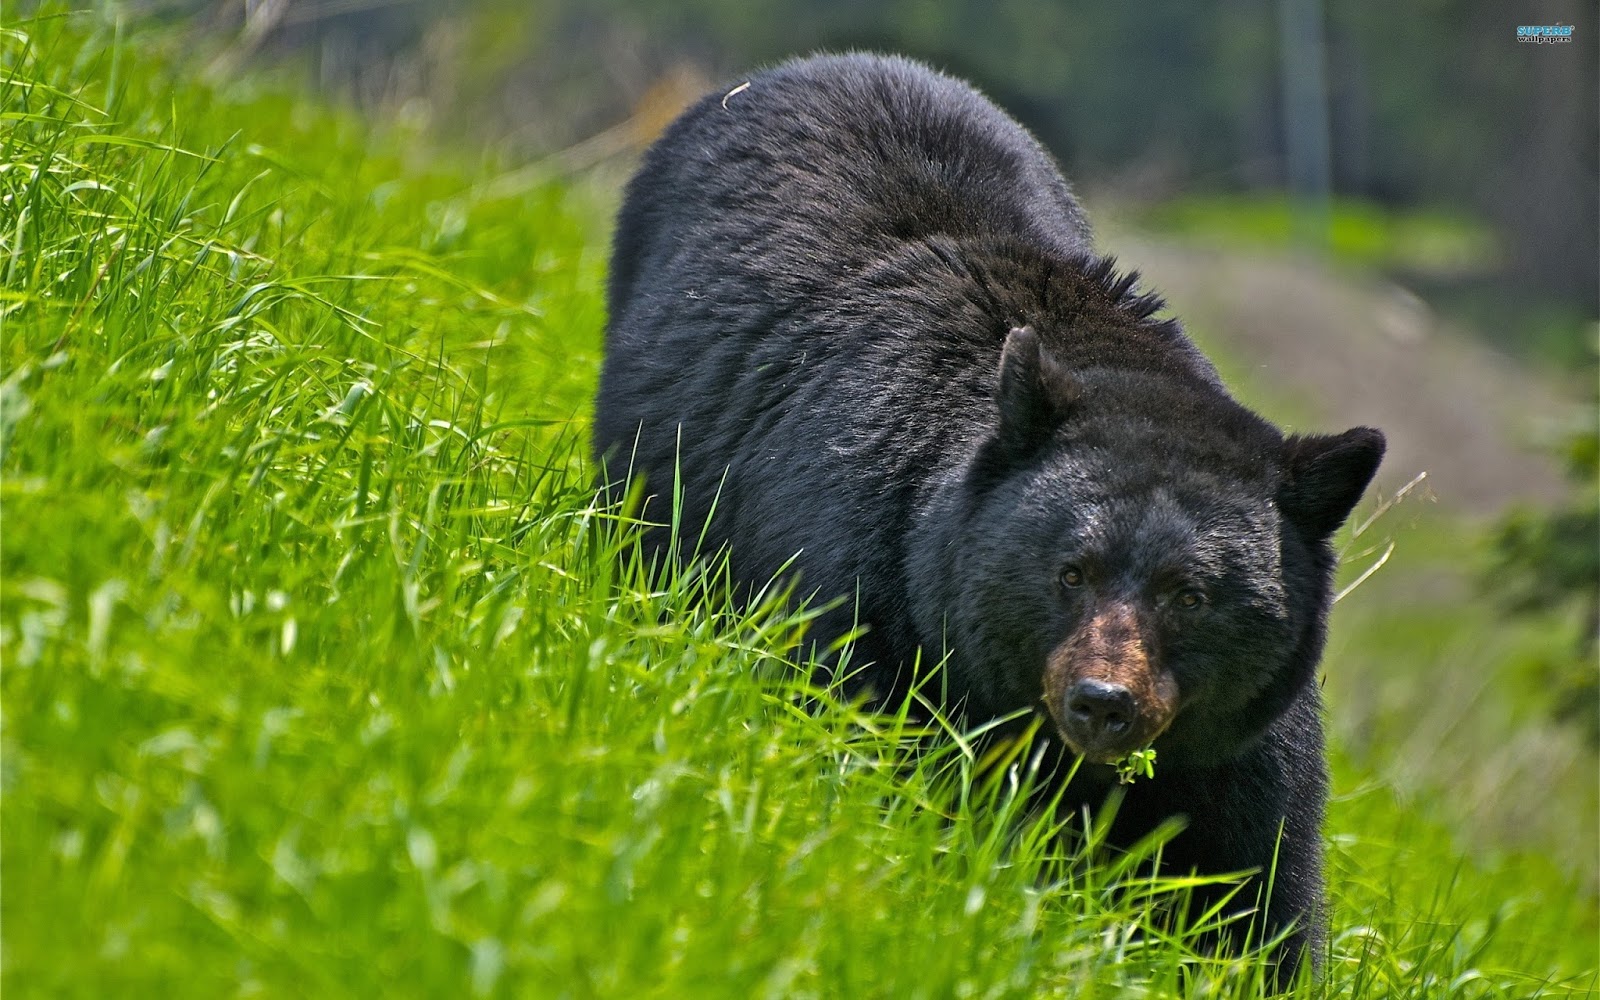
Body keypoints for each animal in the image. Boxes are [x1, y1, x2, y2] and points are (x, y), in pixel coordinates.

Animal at [593, 53, 1384, 988]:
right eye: (1070, 572)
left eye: (1191, 596)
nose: (1103, 704)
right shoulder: (866, 593)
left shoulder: (1235, 751)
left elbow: (1255, 887)